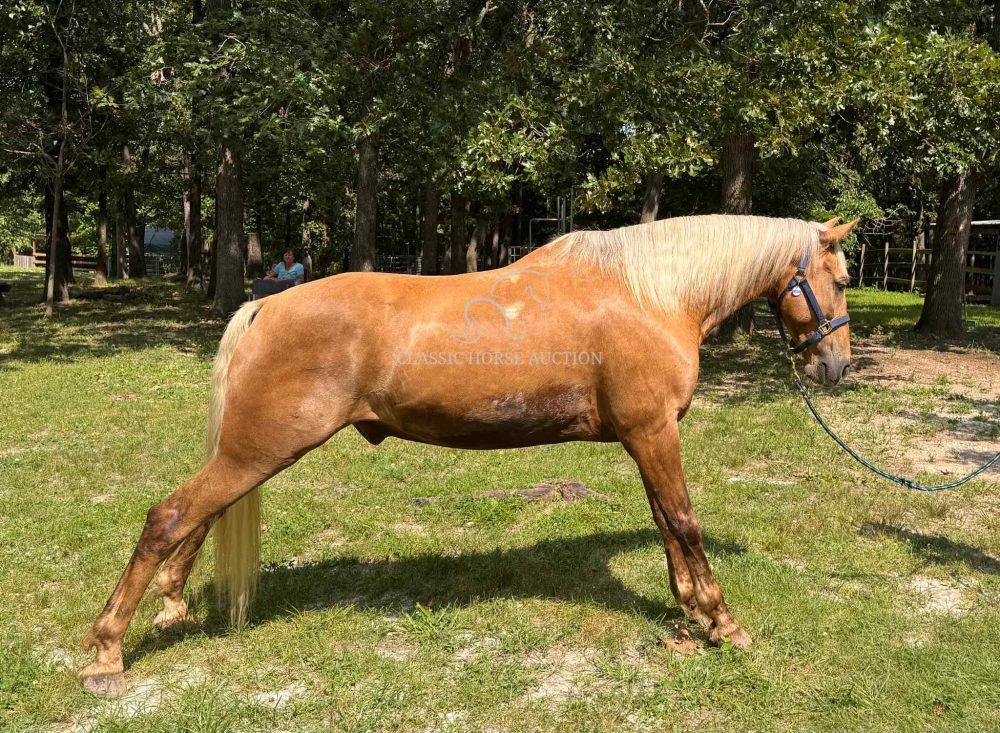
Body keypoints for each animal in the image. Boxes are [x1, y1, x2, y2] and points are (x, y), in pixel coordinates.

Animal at [80, 214, 857, 696]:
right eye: (844, 279)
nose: (835, 368)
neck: (648, 294)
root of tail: (266, 304)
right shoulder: (654, 433)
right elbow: (686, 523)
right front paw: (724, 622)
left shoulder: (647, 438)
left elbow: (669, 527)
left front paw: (691, 613)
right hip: (259, 448)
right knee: (170, 516)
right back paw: (106, 651)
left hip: (253, 452)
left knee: (197, 518)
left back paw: (172, 609)